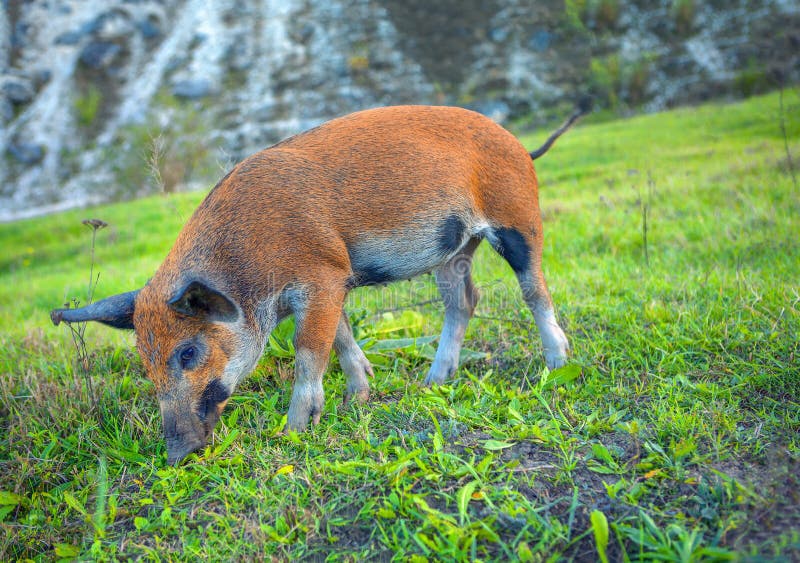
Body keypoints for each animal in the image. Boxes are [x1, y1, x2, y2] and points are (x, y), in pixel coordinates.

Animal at [51, 102, 588, 465]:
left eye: (188, 352)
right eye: (145, 361)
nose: (178, 454)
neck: (248, 265)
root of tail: (518, 143)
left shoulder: (321, 277)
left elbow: (309, 349)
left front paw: (292, 432)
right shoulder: (335, 279)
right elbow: (342, 336)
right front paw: (359, 398)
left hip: (516, 216)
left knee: (533, 287)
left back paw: (558, 364)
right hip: (454, 251)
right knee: (465, 300)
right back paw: (433, 382)